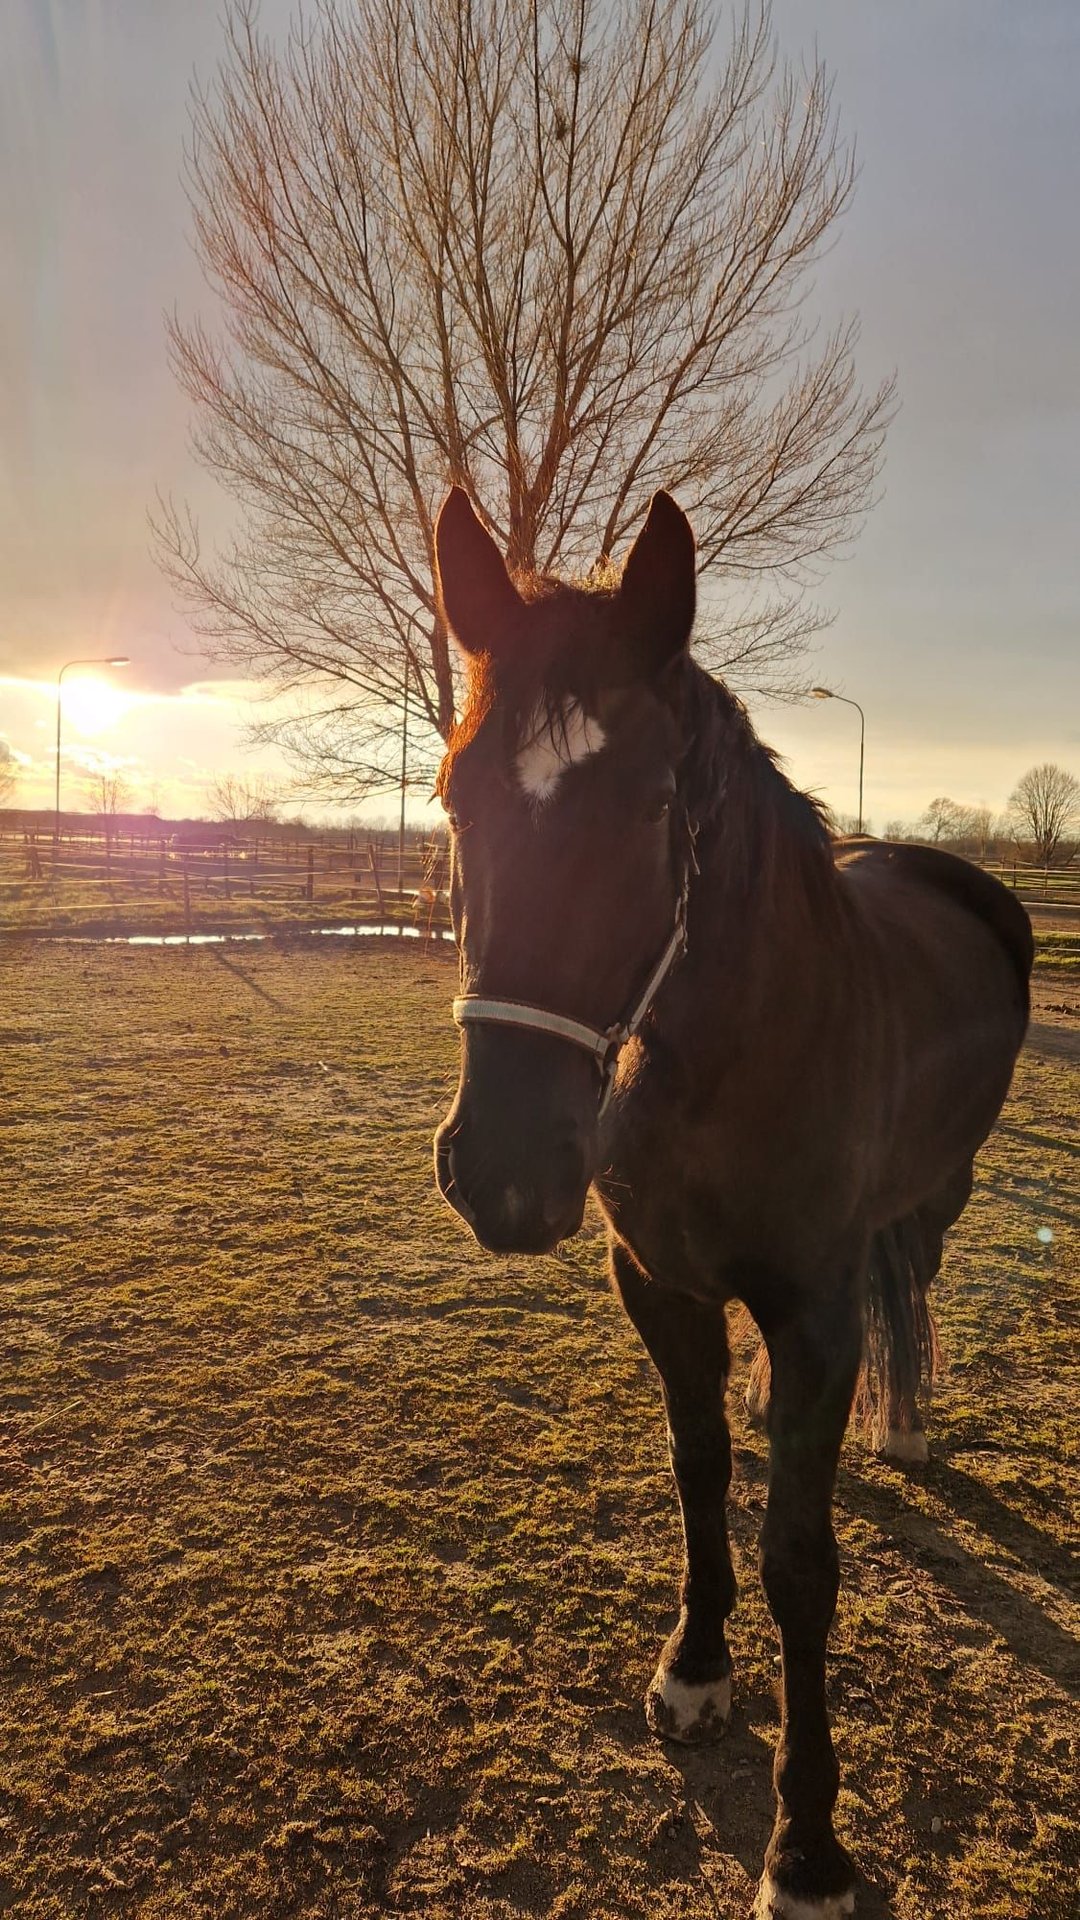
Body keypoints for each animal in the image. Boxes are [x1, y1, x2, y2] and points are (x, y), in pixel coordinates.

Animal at [431, 486, 1032, 1919]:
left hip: (941, 1188)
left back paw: (905, 1426)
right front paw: (696, 1668)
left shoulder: (812, 1310)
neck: (726, 1060)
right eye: (455, 791)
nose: (503, 1174)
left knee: (912, 1285)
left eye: (652, 804)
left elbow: (800, 1565)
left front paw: (807, 1846)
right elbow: (697, 1469)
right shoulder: (659, 1285)